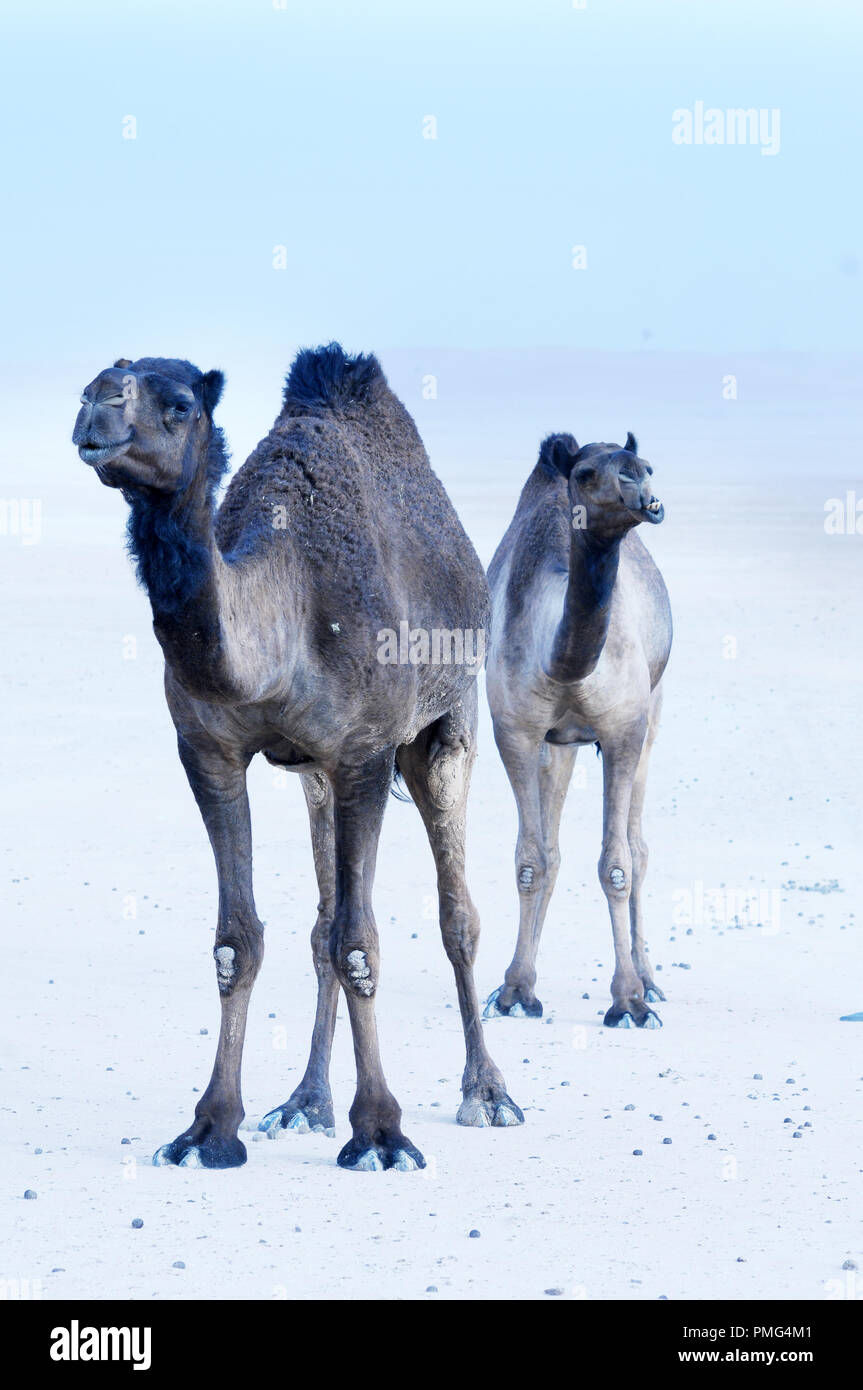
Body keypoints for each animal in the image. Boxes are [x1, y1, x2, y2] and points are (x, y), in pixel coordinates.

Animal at [72, 344, 522, 1171]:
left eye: (179, 405)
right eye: (89, 386)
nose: (99, 403)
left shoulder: (366, 752)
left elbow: (360, 941)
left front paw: (380, 1135)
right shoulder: (211, 752)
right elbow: (240, 939)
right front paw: (209, 1130)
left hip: (443, 727)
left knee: (454, 914)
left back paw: (487, 1093)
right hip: (314, 775)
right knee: (320, 922)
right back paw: (305, 1101)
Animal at [483, 432, 672, 1028]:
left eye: (647, 466)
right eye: (587, 474)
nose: (644, 491)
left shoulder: (623, 730)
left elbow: (618, 863)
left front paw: (629, 1000)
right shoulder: (515, 733)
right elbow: (530, 861)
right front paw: (514, 990)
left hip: (653, 712)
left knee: (639, 845)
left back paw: (651, 978)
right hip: (559, 746)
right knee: (551, 848)